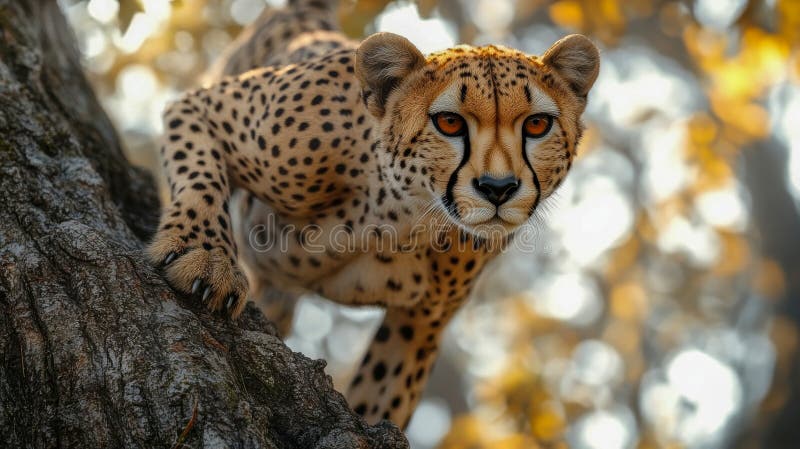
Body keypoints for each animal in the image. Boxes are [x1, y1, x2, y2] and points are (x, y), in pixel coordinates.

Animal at [147, 0, 599, 429]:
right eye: (449, 122)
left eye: (537, 125)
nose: (498, 189)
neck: (399, 210)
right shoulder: (207, 106)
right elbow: (202, 178)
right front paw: (206, 257)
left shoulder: (422, 321)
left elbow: (384, 397)